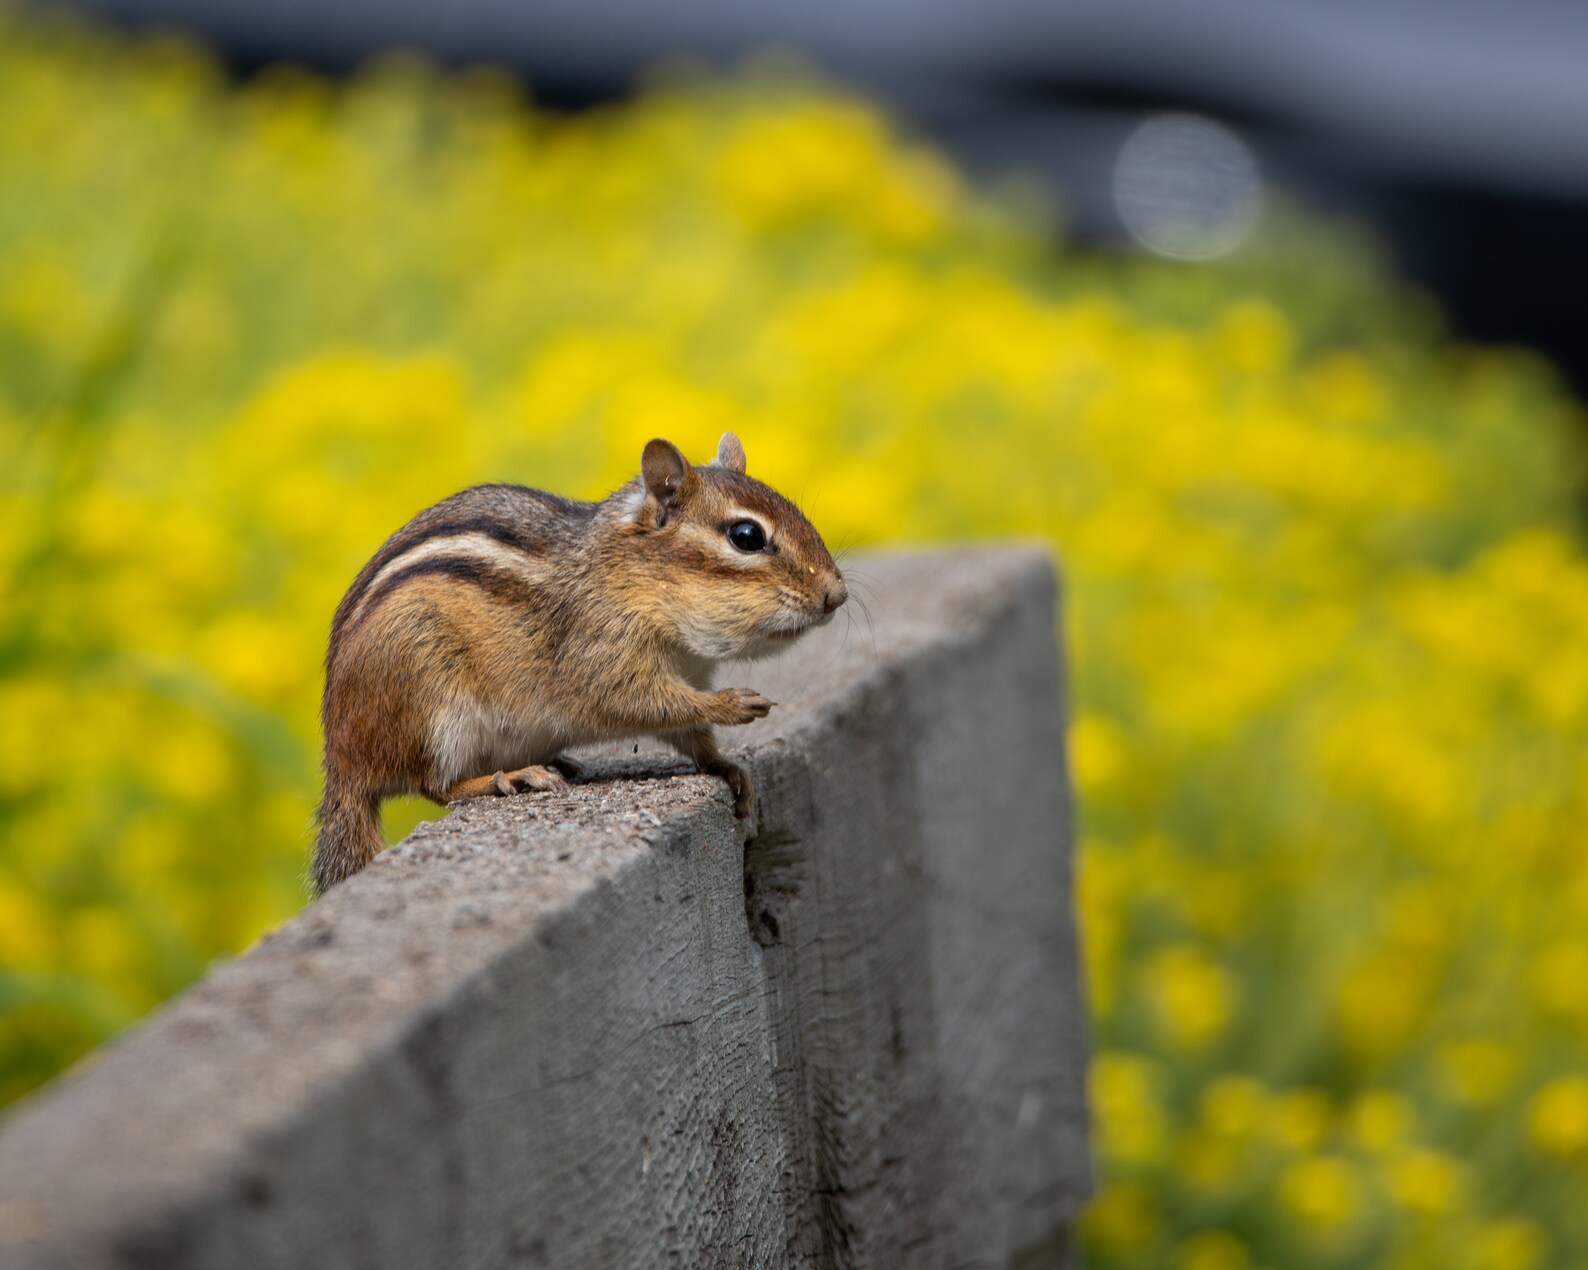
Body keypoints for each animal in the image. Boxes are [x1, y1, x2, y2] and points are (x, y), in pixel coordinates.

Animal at [311, 432, 847, 894]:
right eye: (746, 536)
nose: (836, 596)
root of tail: (340, 762)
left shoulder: (687, 671)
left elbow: (689, 730)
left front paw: (728, 766)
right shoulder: (601, 653)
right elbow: (637, 703)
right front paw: (733, 704)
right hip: (431, 704)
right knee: (437, 785)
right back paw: (511, 777)